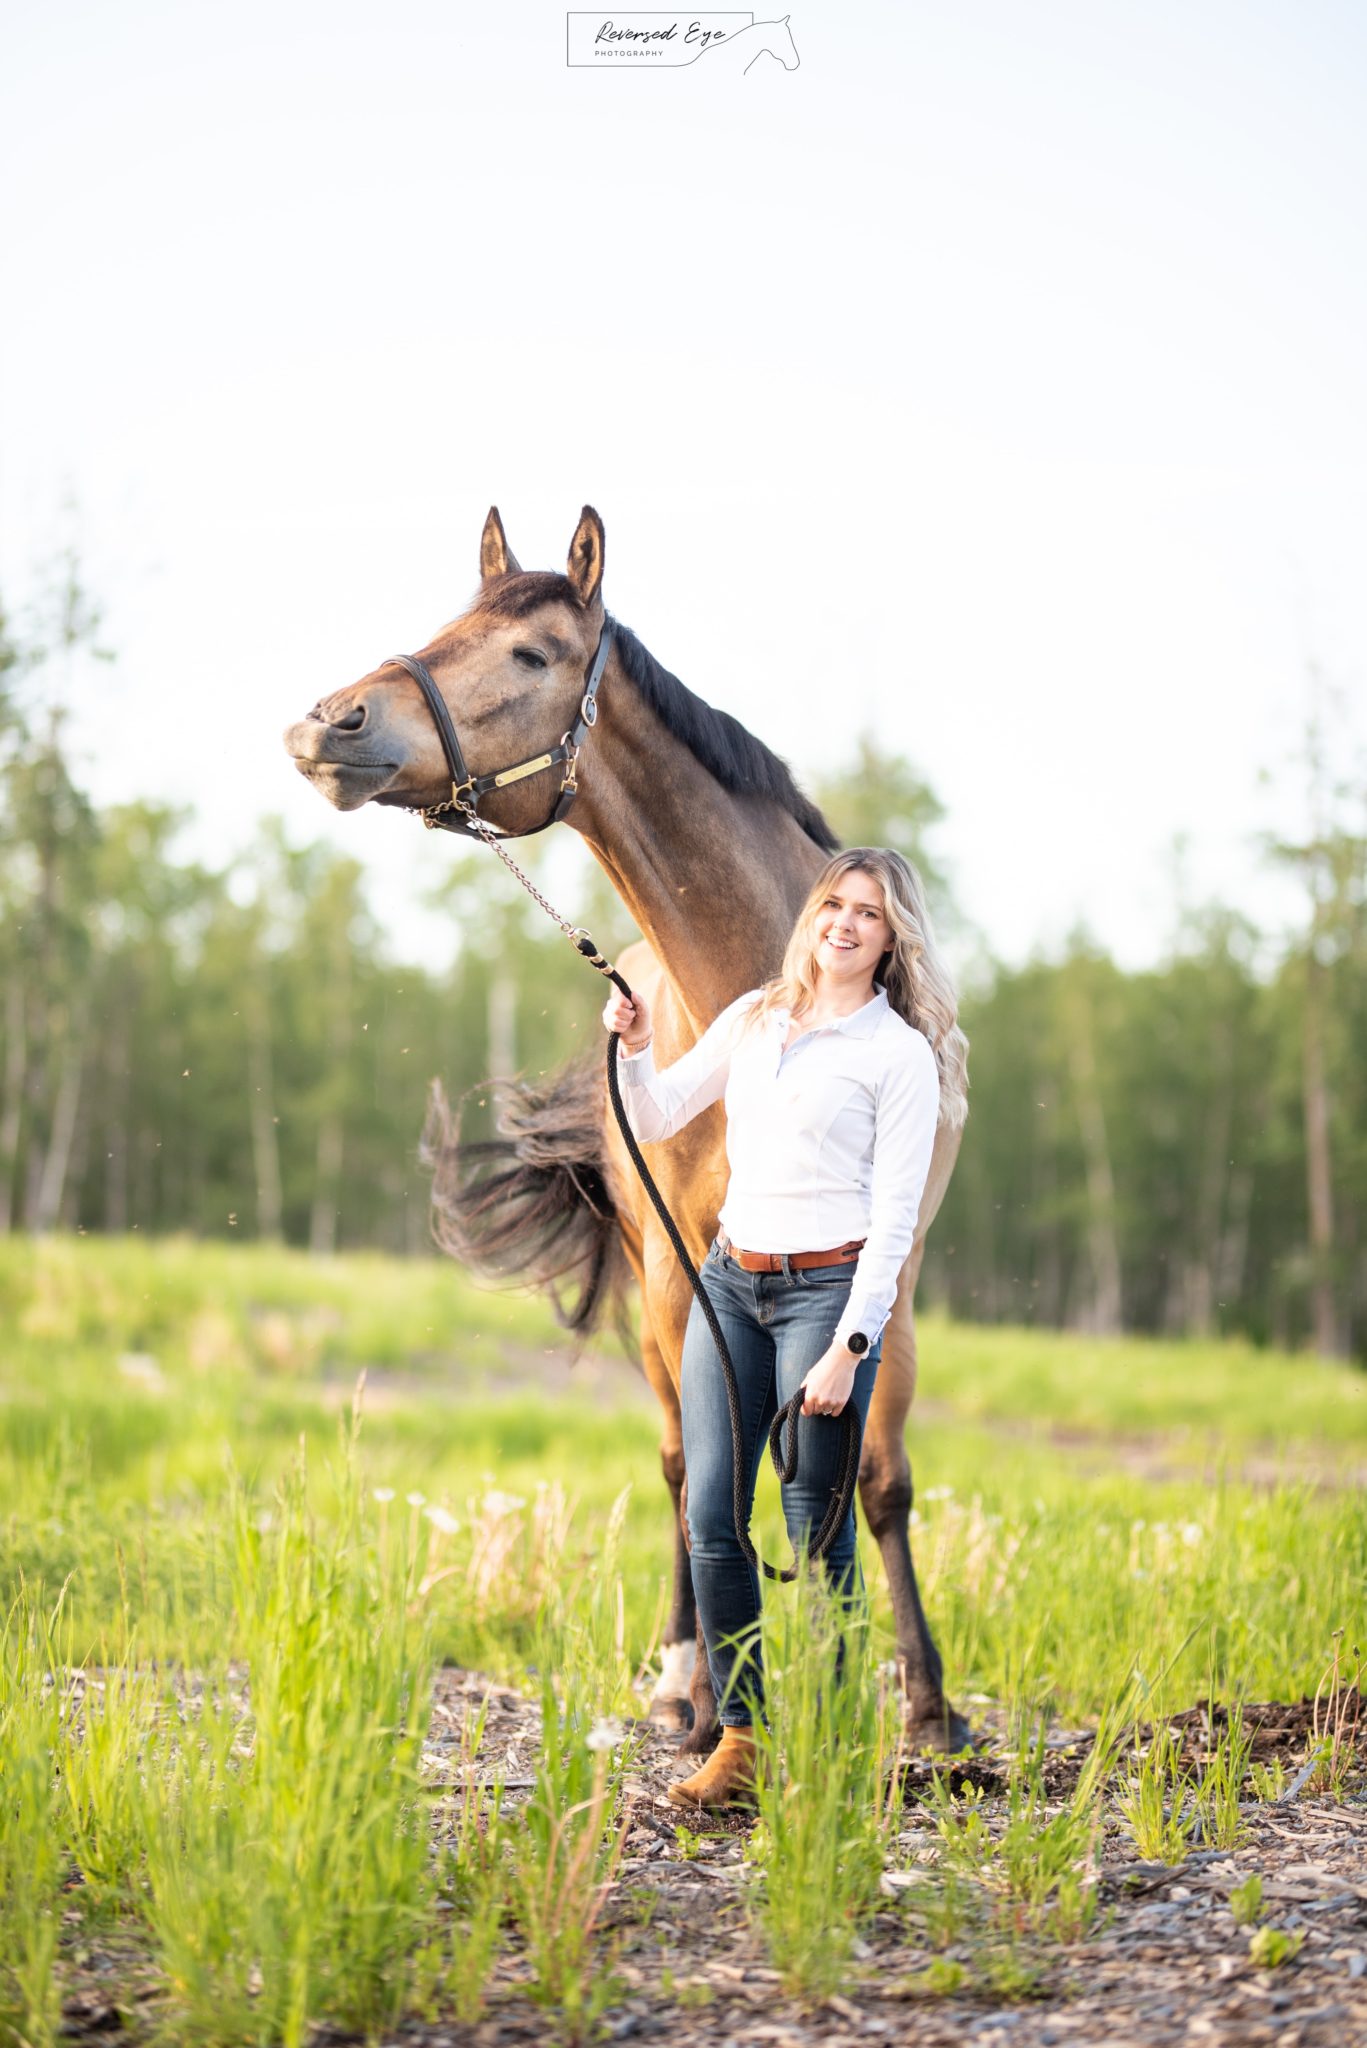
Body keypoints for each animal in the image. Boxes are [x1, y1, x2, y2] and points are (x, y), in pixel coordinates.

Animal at [283, 505, 969, 1754]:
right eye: (446, 624)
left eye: (531, 653)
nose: (328, 724)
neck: (752, 972)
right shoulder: (673, 1271)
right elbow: (698, 1463)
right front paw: (701, 1691)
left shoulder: (887, 1273)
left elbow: (878, 1477)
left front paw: (927, 1704)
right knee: (680, 1458)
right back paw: (681, 1676)